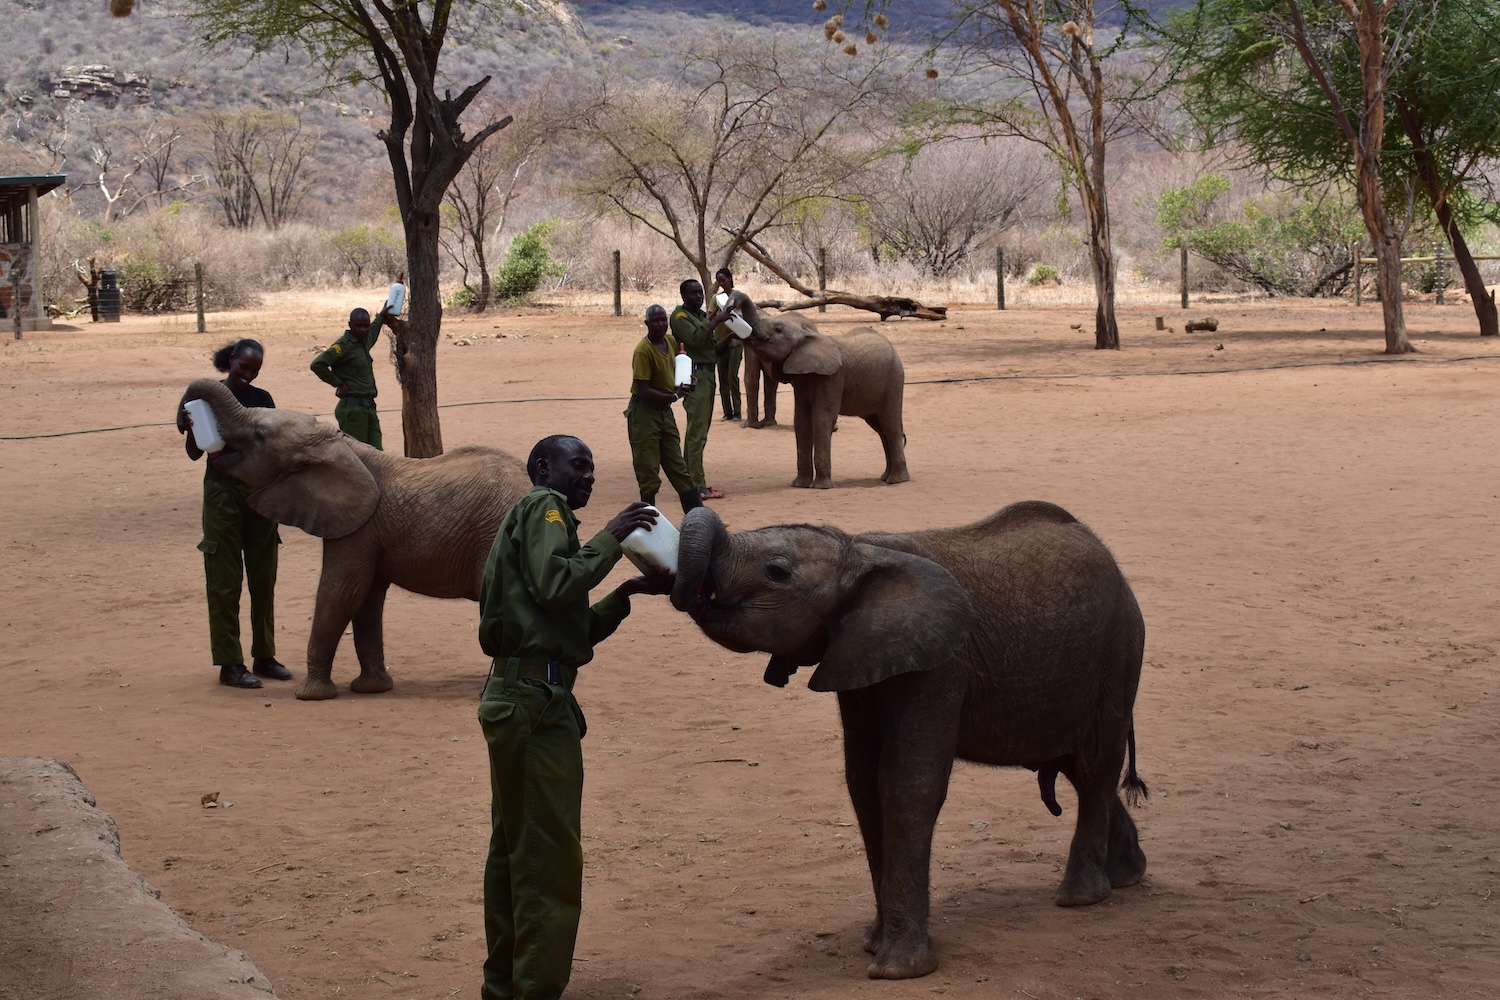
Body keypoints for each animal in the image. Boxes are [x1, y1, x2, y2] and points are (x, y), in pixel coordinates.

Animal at [177, 378, 531, 700]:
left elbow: (342, 592)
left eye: (260, 436)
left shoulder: (359, 527)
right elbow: (367, 599)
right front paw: (373, 689)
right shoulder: (368, 530)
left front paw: (310, 695)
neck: (341, 444)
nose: (186, 422)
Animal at [669, 501, 1148, 979]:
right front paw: (872, 943)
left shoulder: (938, 664)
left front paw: (896, 970)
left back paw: (1081, 897)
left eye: (777, 571)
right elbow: (864, 784)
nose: (681, 584)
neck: (857, 550)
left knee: (1094, 765)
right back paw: (1127, 875)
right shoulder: (859, 662)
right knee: (1076, 767)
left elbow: (907, 784)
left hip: (1119, 652)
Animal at [724, 290, 907, 488]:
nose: (729, 305)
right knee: (880, 428)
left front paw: (820, 487)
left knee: (889, 424)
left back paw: (897, 480)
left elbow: (821, 418)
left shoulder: (833, 377)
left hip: (894, 379)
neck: (806, 336)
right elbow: (801, 420)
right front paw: (800, 485)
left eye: (778, 329)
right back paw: (885, 477)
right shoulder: (802, 379)